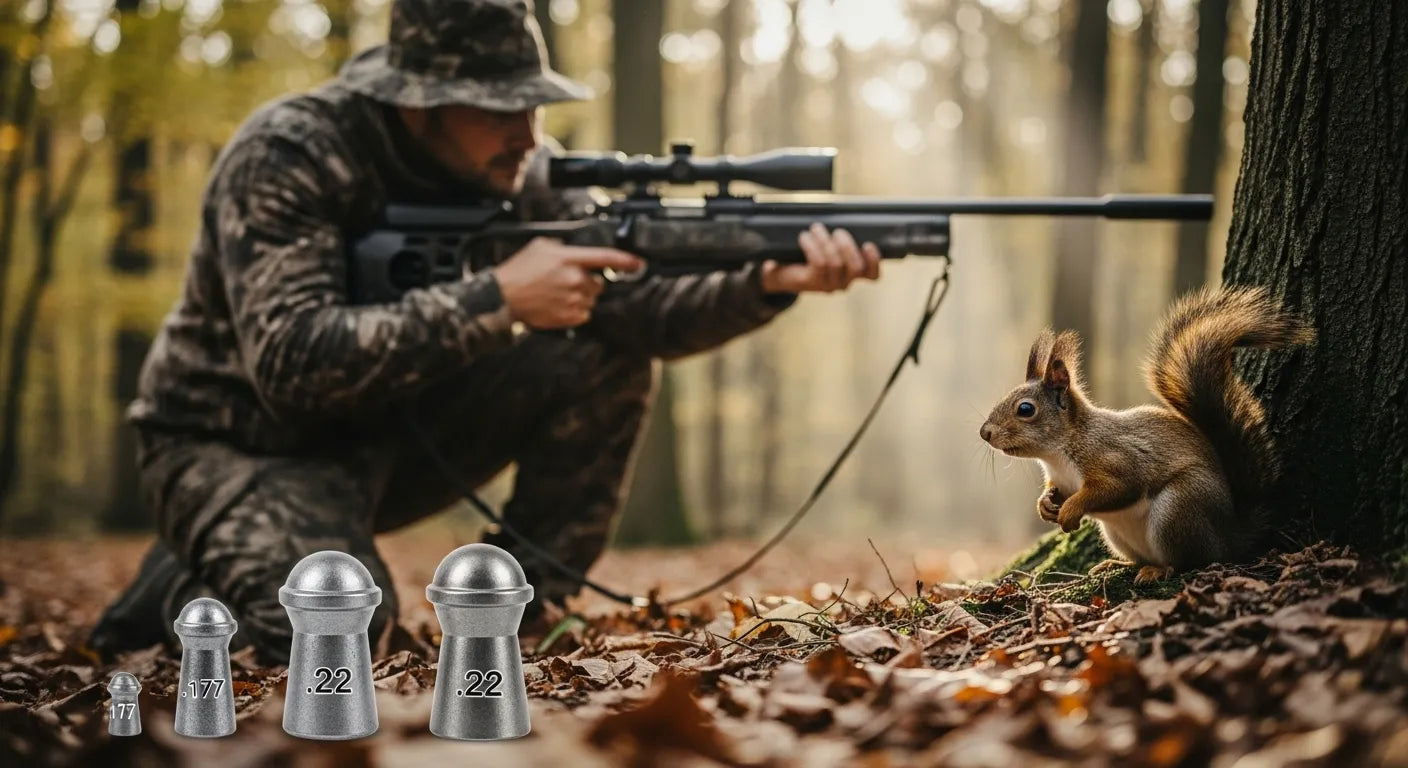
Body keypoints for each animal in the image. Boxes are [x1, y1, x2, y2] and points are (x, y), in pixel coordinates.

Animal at [978, 286, 1313, 584]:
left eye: (1025, 409)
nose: (984, 432)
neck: (1058, 453)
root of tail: (1230, 536)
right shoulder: (1061, 479)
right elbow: (1056, 492)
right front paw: (1046, 505)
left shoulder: (1115, 458)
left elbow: (1118, 487)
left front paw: (1071, 509)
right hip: (1117, 534)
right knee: (1142, 557)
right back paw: (1117, 564)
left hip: (1179, 509)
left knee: (1192, 560)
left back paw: (1159, 570)